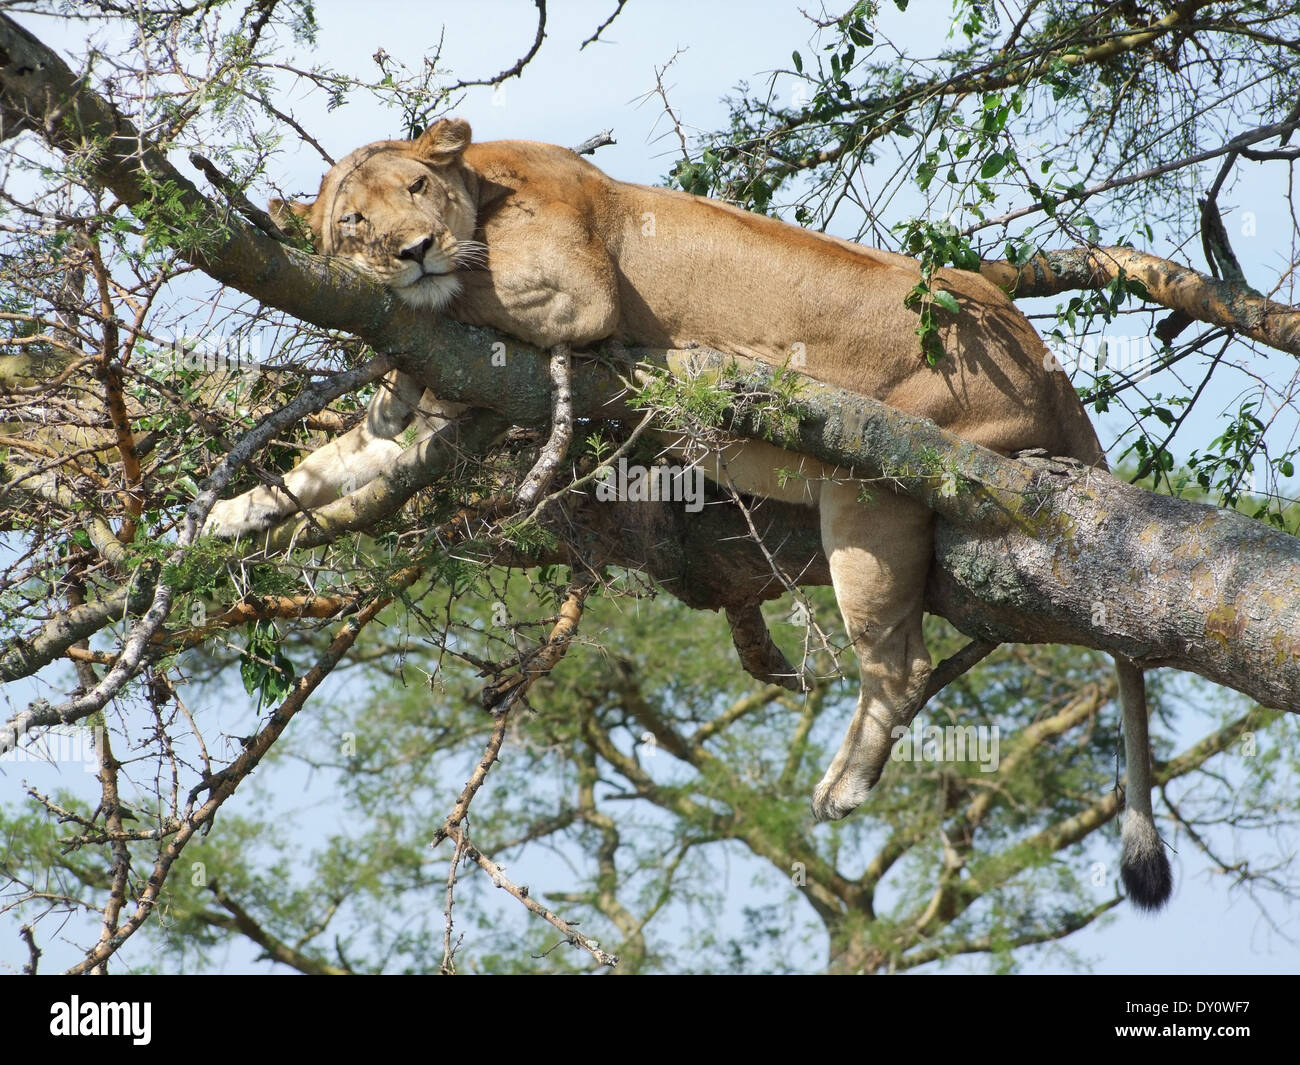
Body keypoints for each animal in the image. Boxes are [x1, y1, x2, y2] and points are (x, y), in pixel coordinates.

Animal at [206, 118, 1173, 910]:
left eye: (415, 190)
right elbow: (326, 470)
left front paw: (398, 346)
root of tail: (1051, 370)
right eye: (351, 223)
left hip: (876, 487)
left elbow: (459, 301)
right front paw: (224, 519)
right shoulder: (459, 394)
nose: (413, 248)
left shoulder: (574, 293)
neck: (483, 185)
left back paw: (841, 787)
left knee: (900, 664)